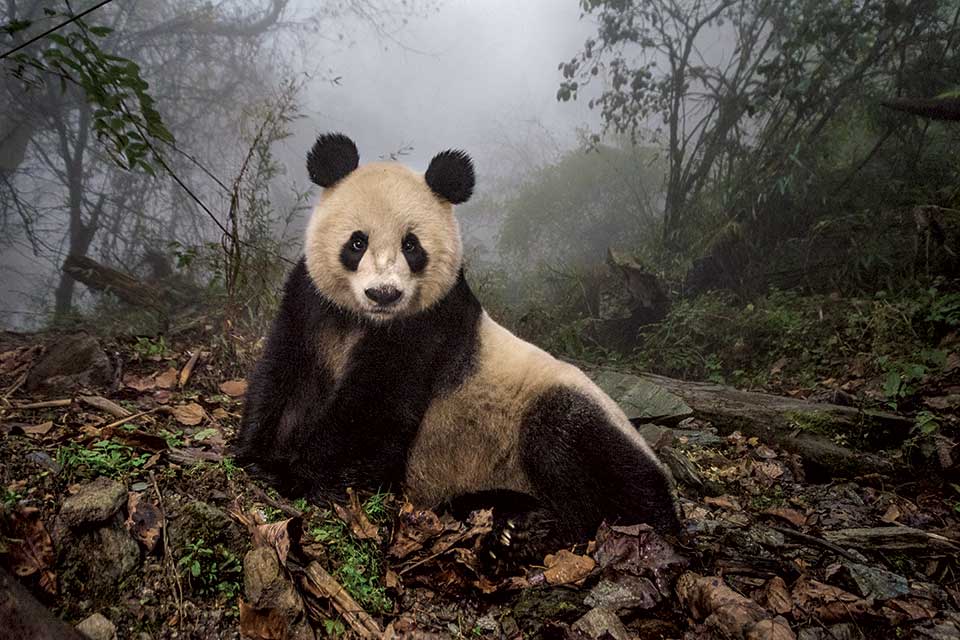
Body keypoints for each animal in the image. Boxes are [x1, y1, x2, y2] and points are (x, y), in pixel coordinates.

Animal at [234, 133, 679, 554]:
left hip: (572, 415)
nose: (383, 294)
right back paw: (500, 512)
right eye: (357, 242)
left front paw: (296, 472)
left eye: (411, 245)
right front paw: (256, 455)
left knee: (578, 453)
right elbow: (283, 375)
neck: (366, 321)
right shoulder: (310, 303)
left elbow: (374, 411)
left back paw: (536, 527)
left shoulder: (429, 326)